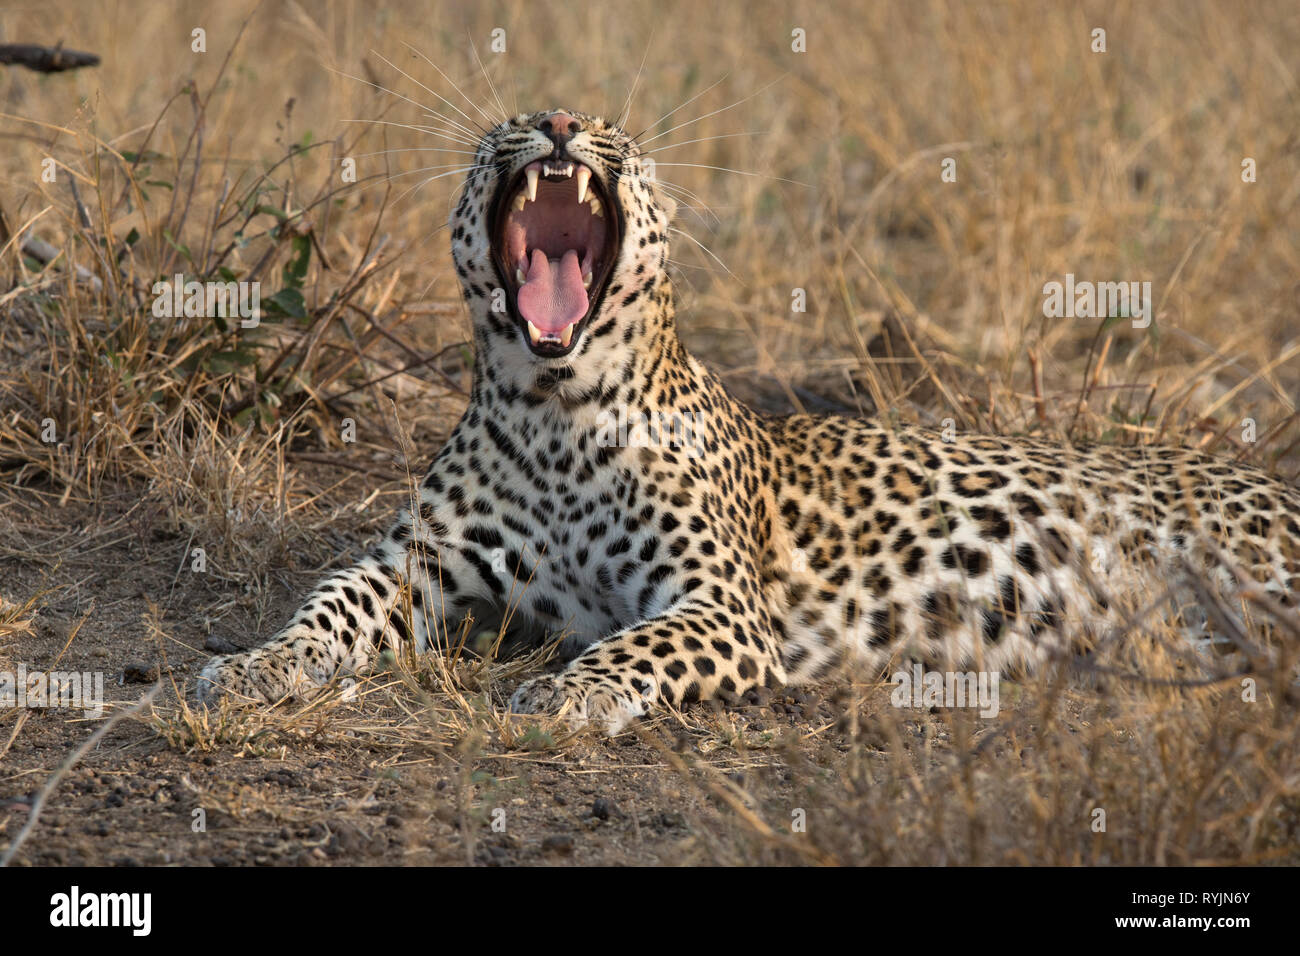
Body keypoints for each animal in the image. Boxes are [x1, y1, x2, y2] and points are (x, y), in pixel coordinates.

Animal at [197, 108, 1300, 733]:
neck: (553, 407)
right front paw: (249, 668)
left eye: (610, 124)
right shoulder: (412, 565)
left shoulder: (721, 604)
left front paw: (565, 696)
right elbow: (325, 605)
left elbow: (632, 648)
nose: (556, 117)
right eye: (511, 118)